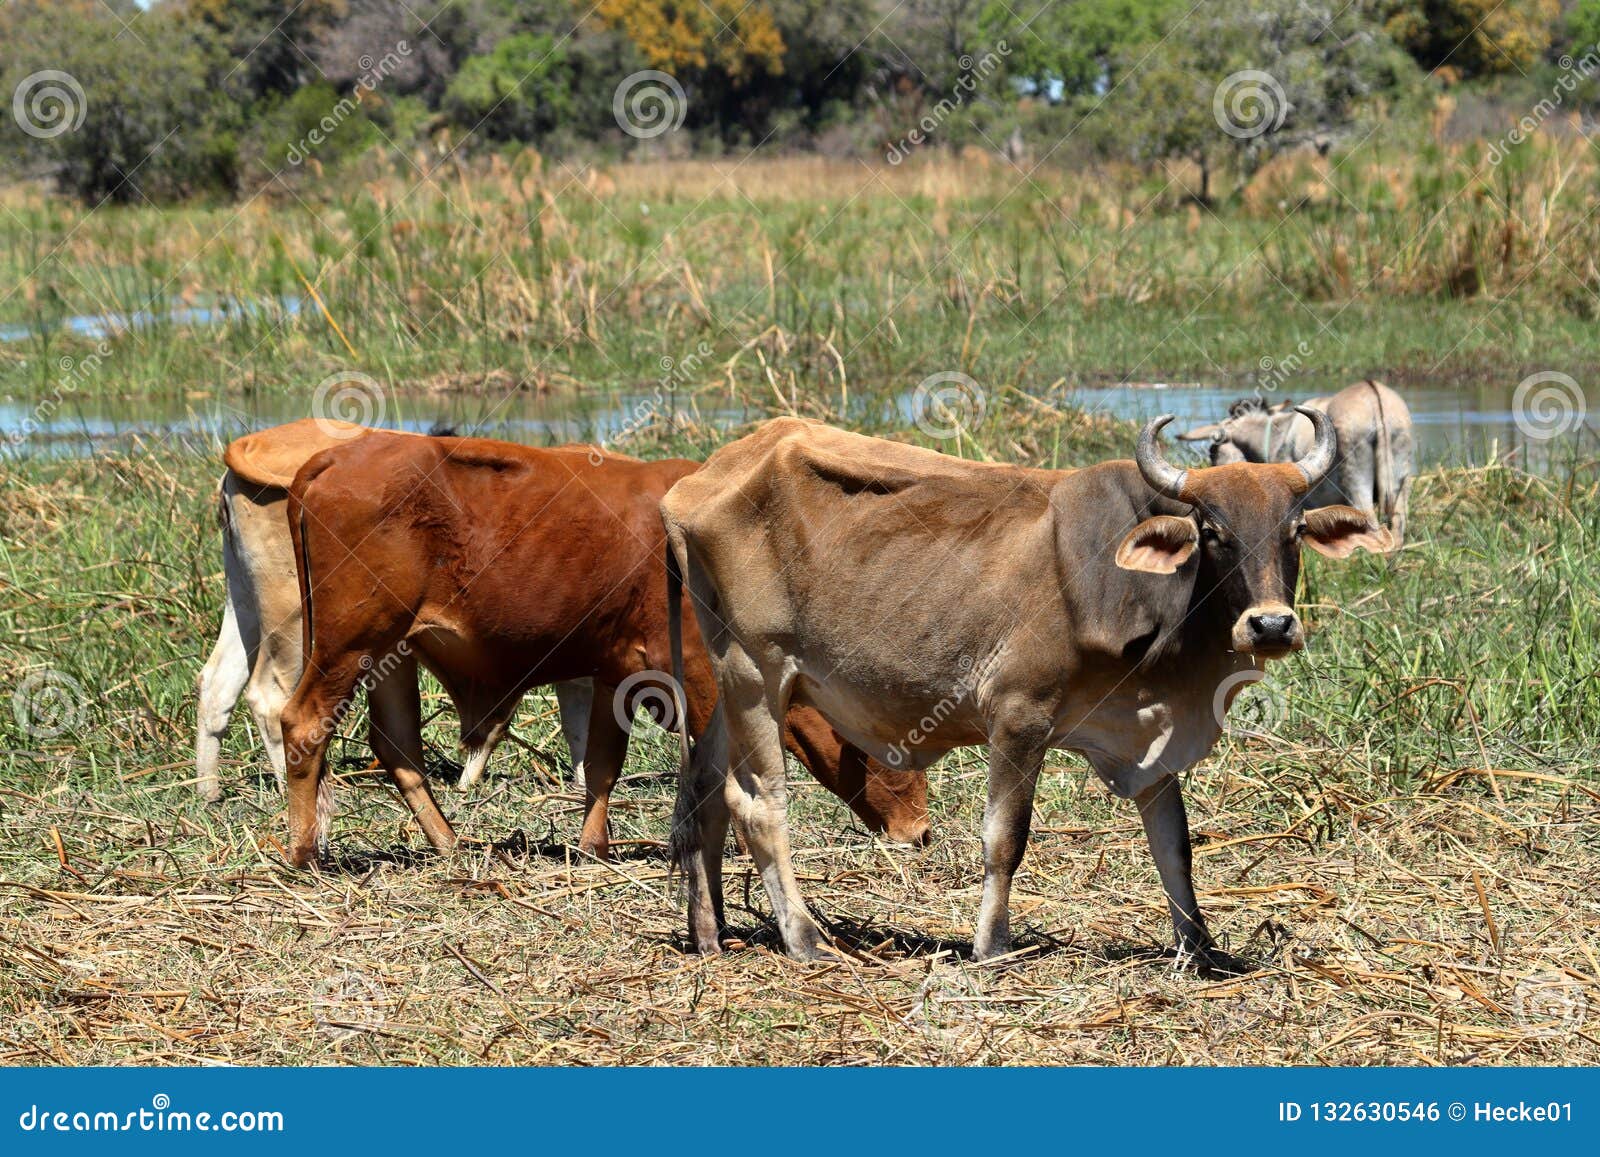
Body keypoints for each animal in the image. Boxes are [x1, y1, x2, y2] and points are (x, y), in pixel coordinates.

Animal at [274, 430, 930, 868]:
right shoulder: (700, 672)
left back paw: (449, 845)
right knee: (304, 724)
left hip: (393, 652)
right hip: (351, 643)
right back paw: (305, 853)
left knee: (396, 745)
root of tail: (338, 454)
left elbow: (603, 764)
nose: (920, 831)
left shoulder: (619, 672)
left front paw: (594, 847)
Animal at [662, 412, 1392, 972]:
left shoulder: (1147, 740)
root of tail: (696, 481)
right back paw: (807, 939)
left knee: (704, 792)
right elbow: (1005, 838)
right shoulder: (1018, 718)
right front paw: (992, 945)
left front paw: (1200, 947)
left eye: (1294, 530)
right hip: (758, 674)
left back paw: (710, 934)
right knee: (758, 806)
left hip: (731, 685)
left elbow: (1173, 846)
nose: (1270, 624)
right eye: (1212, 531)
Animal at [1177, 380, 1413, 548]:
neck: (1277, 434)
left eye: (1213, 451)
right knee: (1397, 526)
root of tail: (1373, 394)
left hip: (1356, 484)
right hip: (1401, 479)